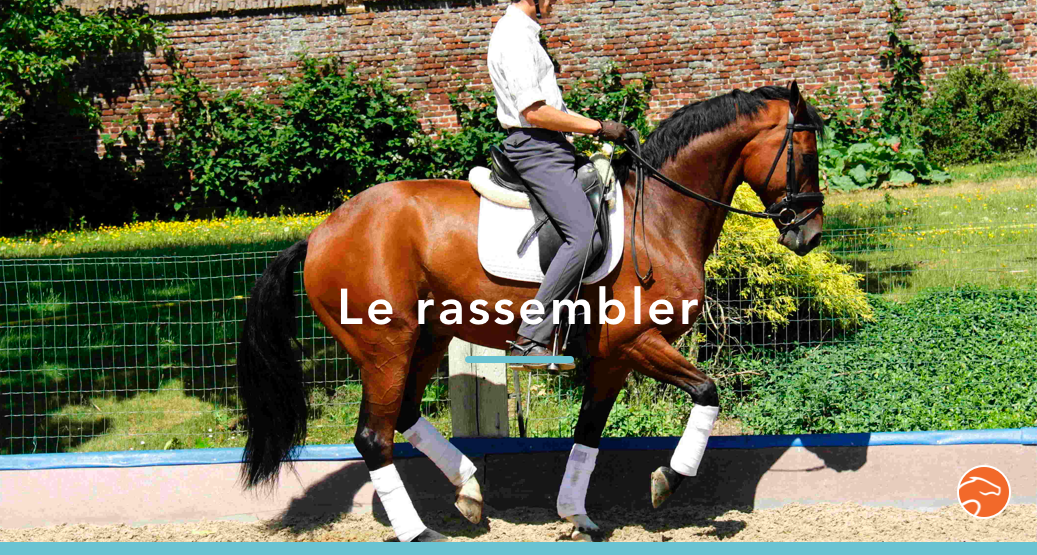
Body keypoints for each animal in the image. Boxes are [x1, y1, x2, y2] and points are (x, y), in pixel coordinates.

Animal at [236, 81, 825, 541]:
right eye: (806, 150)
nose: (811, 234)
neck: (658, 220)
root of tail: (320, 234)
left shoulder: (612, 359)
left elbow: (589, 433)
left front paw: (576, 514)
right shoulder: (637, 344)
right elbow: (707, 391)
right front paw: (668, 479)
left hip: (425, 340)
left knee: (402, 417)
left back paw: (469, 489)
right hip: (387, 346)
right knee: (373, 438)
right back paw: (420, 530)